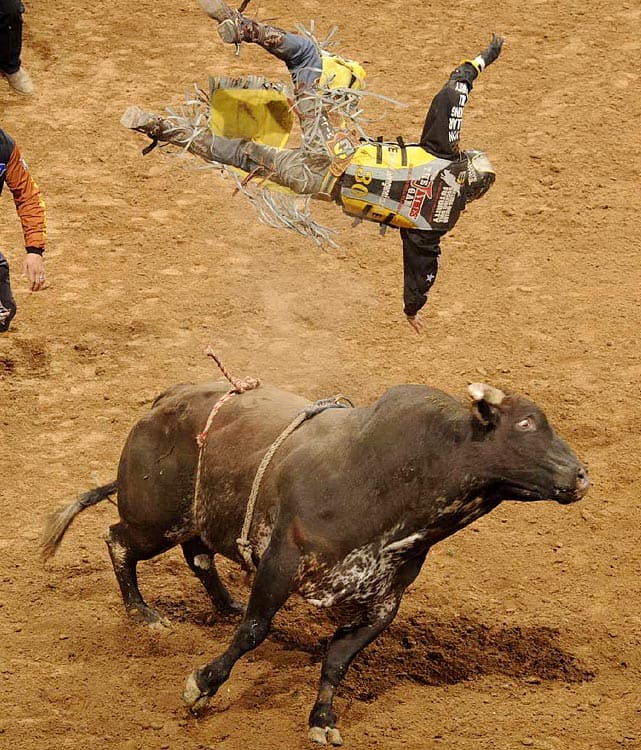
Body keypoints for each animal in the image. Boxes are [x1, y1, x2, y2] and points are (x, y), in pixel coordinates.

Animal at [41, 379, 590, 746]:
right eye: (525, 424)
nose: (581, 475)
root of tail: (164, 403)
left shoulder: (384, 601)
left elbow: (338, 658)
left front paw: (322, 719)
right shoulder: (282, 561)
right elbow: (253, 630)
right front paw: (203, 685)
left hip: (194, 522)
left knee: (198, 557)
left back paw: (222, 602)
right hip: (155, 518)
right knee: (118, 541)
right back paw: (142, 613)